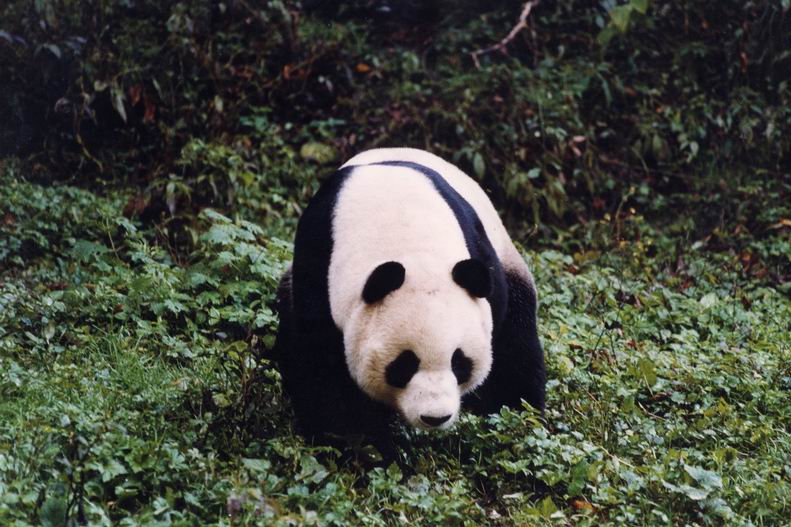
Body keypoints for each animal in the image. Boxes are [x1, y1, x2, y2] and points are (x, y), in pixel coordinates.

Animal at [274, 148, 545, 444]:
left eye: (459, 362)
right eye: (404, 364)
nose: (435, 417)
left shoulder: (481, 260)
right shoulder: (319, 268)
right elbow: (323, 368)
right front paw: (357, 443)